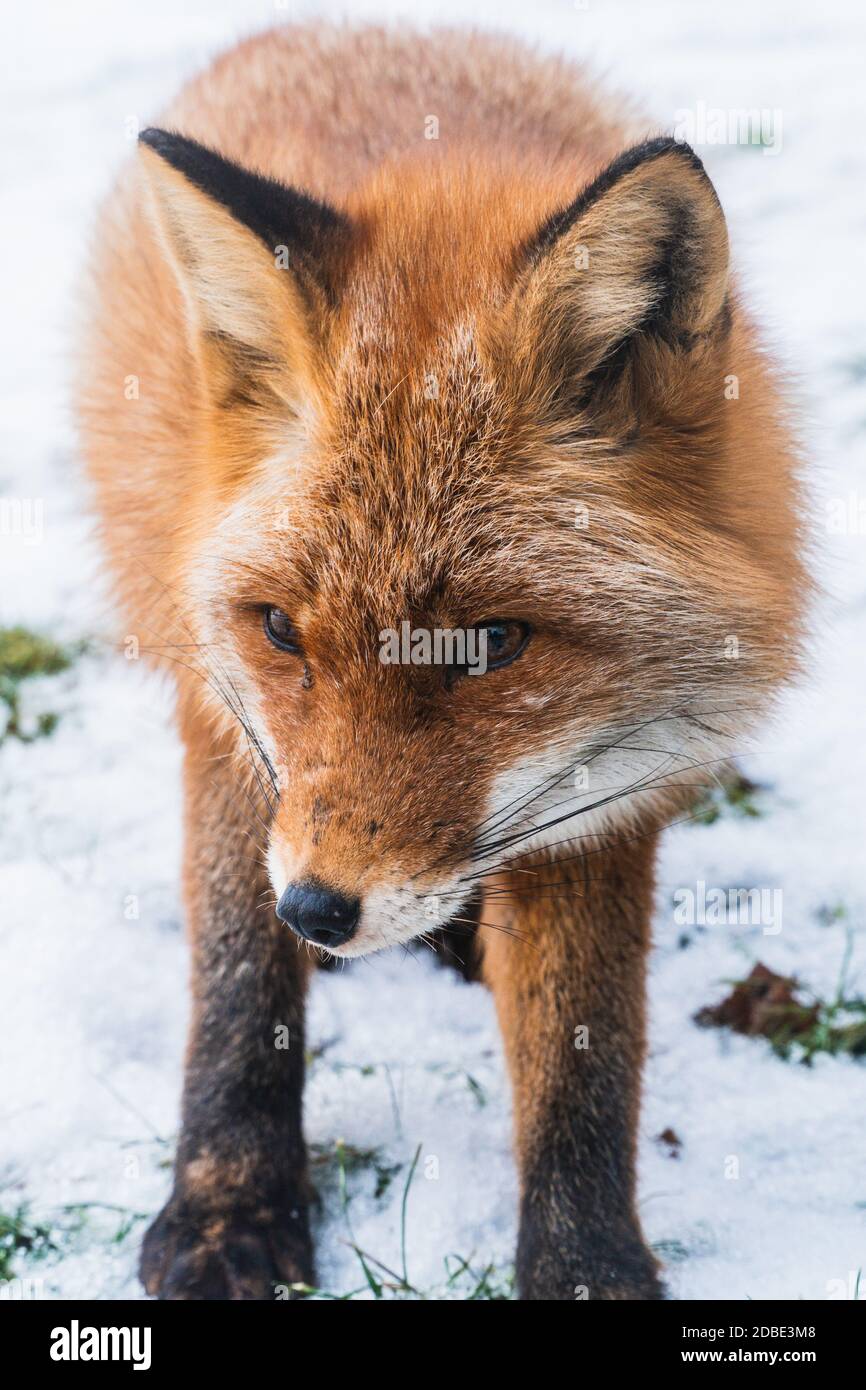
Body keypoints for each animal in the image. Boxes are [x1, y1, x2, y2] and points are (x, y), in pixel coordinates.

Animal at [76, 23, 806, 1300]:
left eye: (489, 645)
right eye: (280, 629)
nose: (320, 907)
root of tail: (335, 27)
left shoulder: (603, 794)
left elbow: (583, 1051)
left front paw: (580, 1264)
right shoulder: (228, 717)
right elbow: (236, 974)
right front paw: (226, 1207)